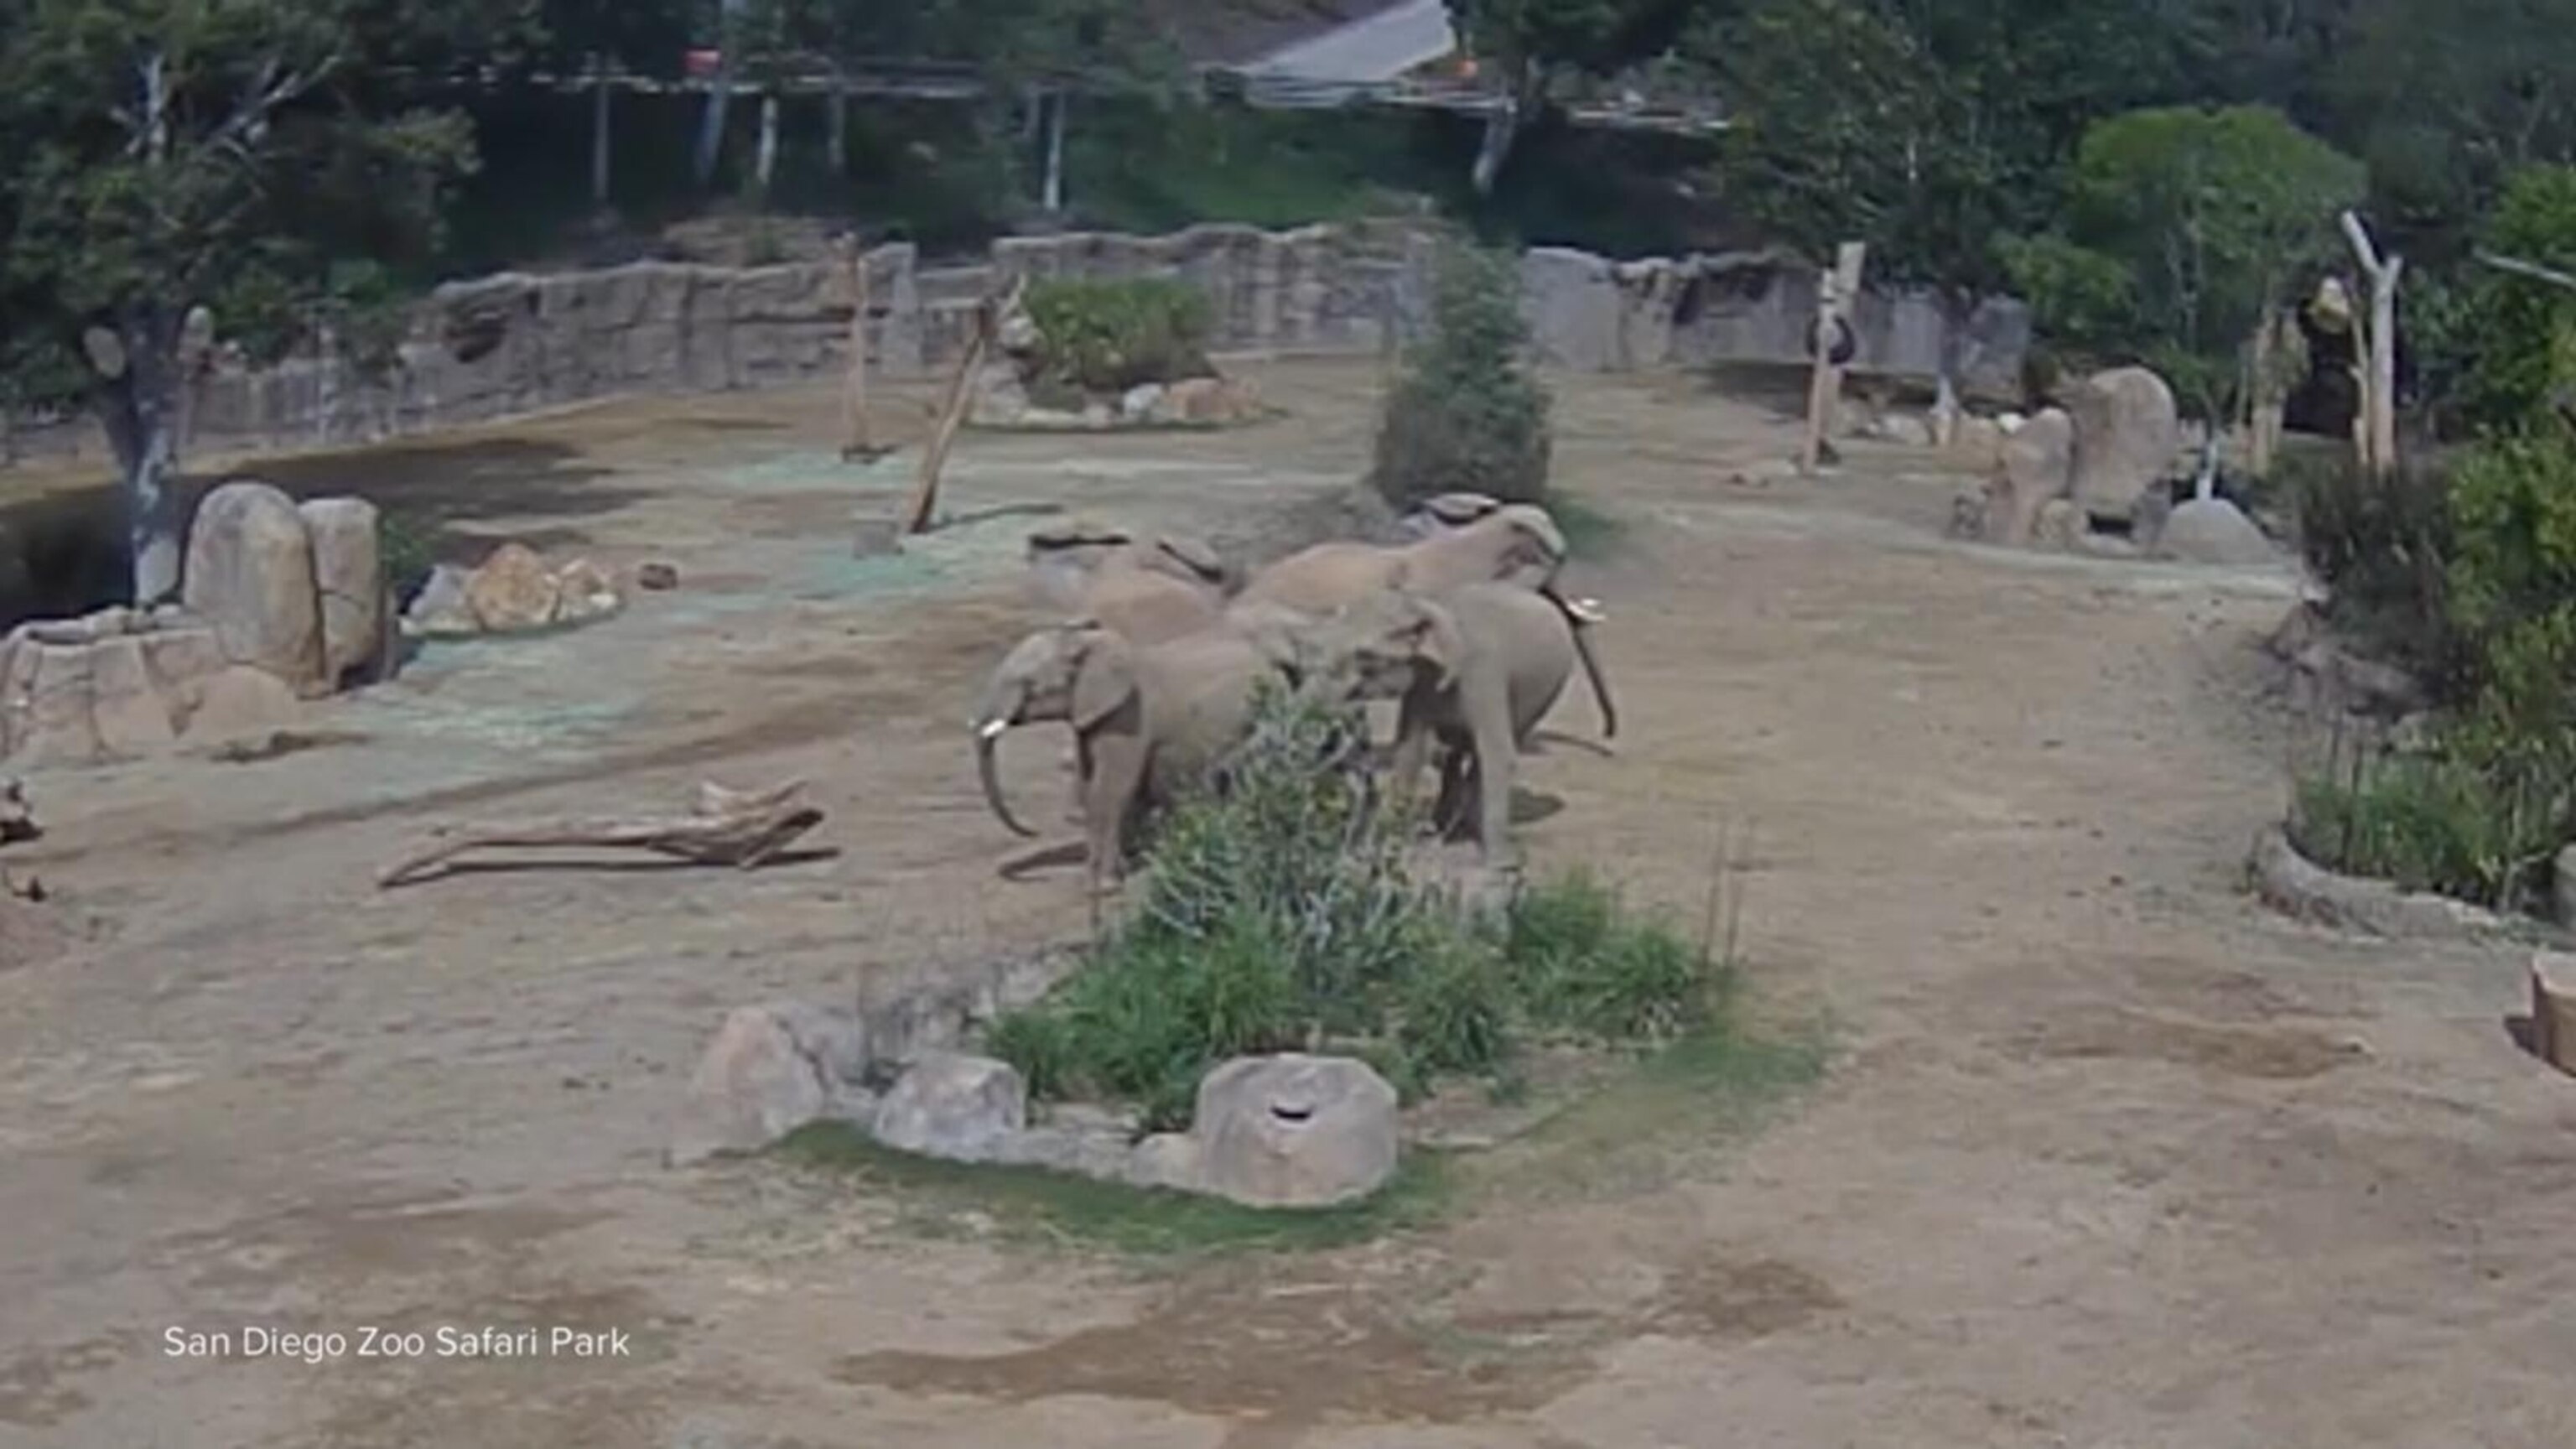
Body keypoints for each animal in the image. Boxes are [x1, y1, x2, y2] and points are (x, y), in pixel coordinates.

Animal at [970, 617, 1295, 909]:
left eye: (1029, 684)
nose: (1033, 831)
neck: (1085, 642)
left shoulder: (1128, 718)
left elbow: (1110, 790)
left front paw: (1103, 889)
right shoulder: (1092, 718)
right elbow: (1090, 788)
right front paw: (1106, 878)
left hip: (1264, 714)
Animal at [1291, 583, 1611, 867]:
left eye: (1366, 656)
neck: (1424, 604)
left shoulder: (1485, 675)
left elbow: (1498, 755)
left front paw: (1502, 865)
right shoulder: (1421, 686)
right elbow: (1410, 751)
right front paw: (1387, 843)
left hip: (1542, 698)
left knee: (1492, 747)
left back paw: (1462, 829)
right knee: (1454, 753)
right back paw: (1442, 828)